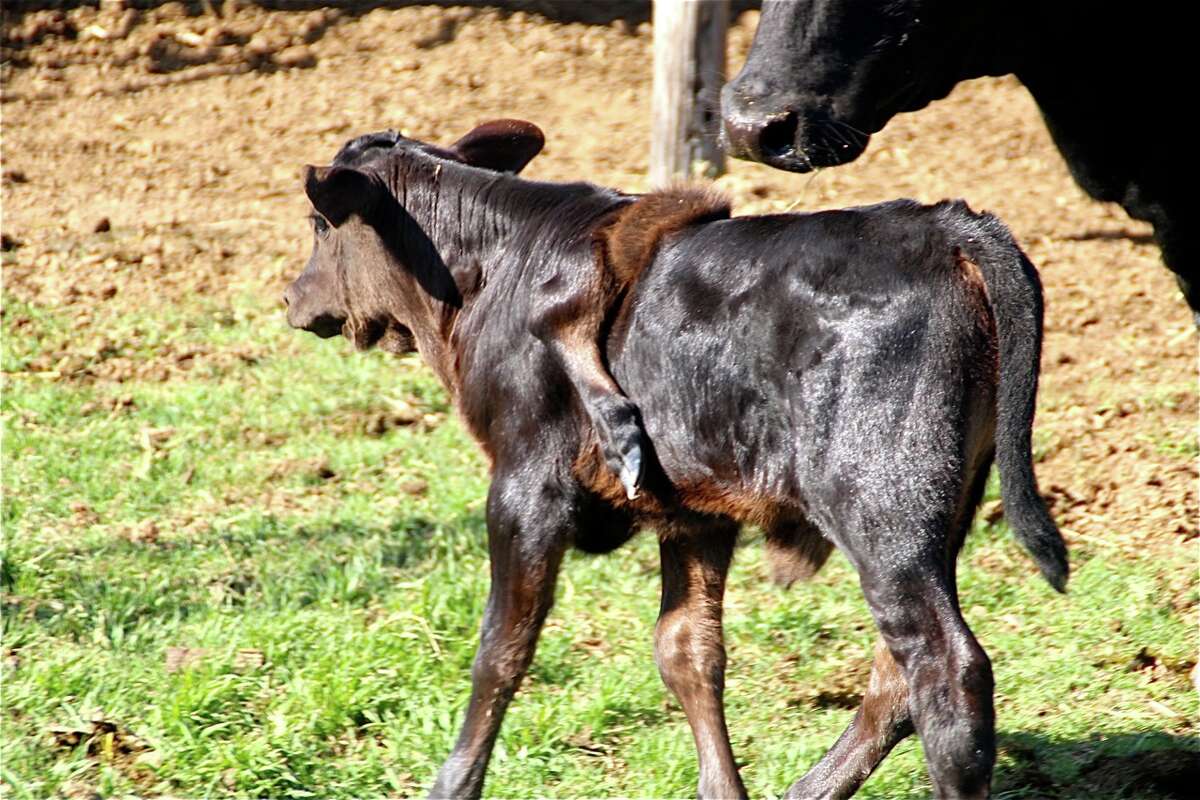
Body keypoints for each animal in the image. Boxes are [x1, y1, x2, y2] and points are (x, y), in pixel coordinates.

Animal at [283, 120, 1068, 800]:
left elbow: (502, 649)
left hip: (884, 509)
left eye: (321, 225)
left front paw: (453, 784)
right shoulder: (695, 514)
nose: (292, 296)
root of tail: (946, 224)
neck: (489, 275)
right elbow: (687, 651)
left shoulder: (524, 486)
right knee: (895, 678)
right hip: (940, 512)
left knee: (945, 670)